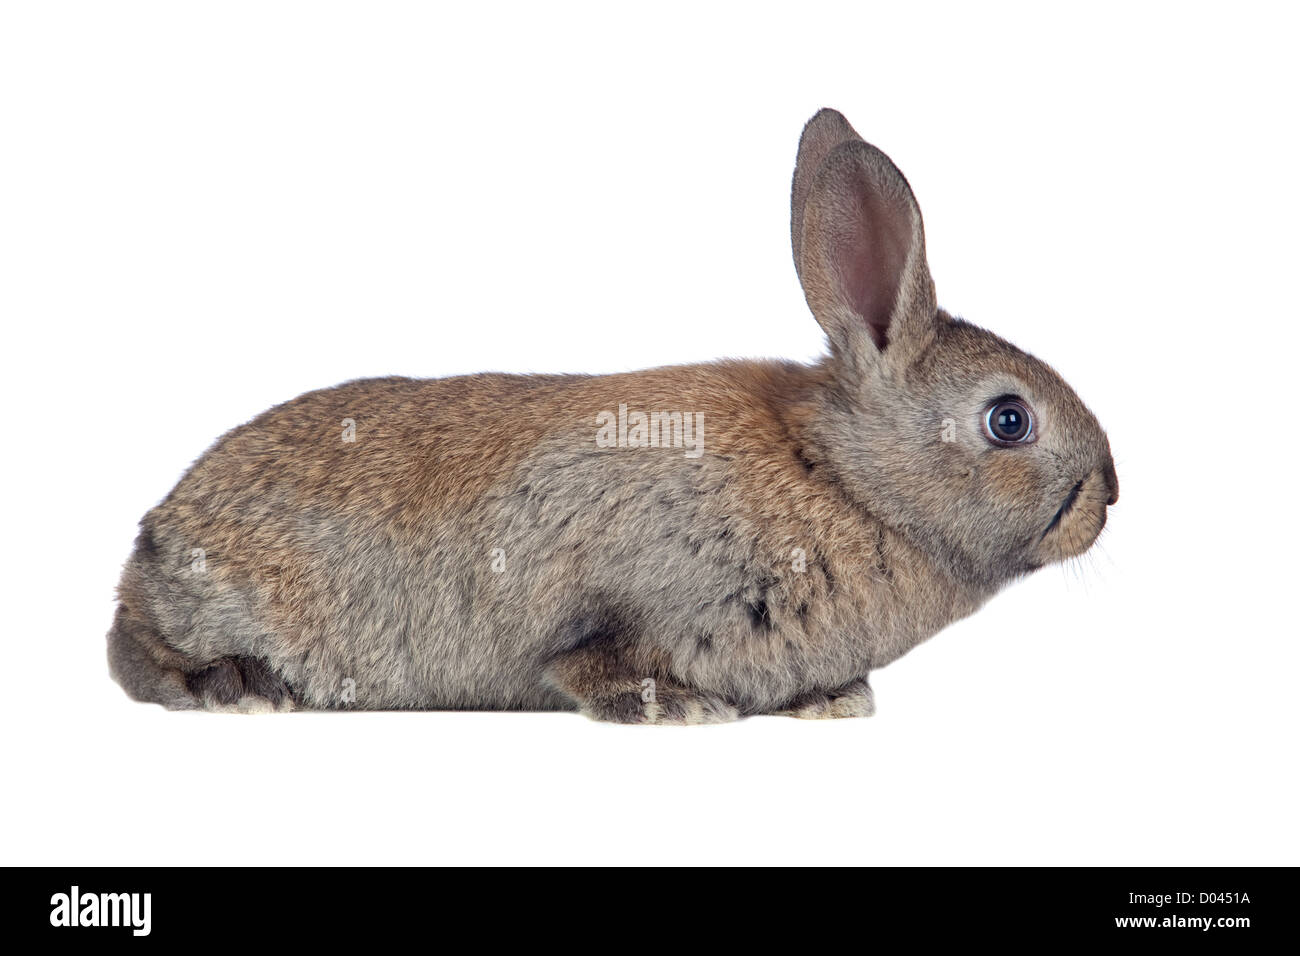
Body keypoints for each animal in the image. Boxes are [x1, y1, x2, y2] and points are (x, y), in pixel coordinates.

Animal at [107, 107, 1117, 722]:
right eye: (1009, 421)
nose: (1110, 492)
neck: (844, 477)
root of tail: (155, 537)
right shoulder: (617, 590)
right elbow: (588, 659)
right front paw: (677, 709)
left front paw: (832, 701)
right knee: (134, 656)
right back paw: (240, 687)